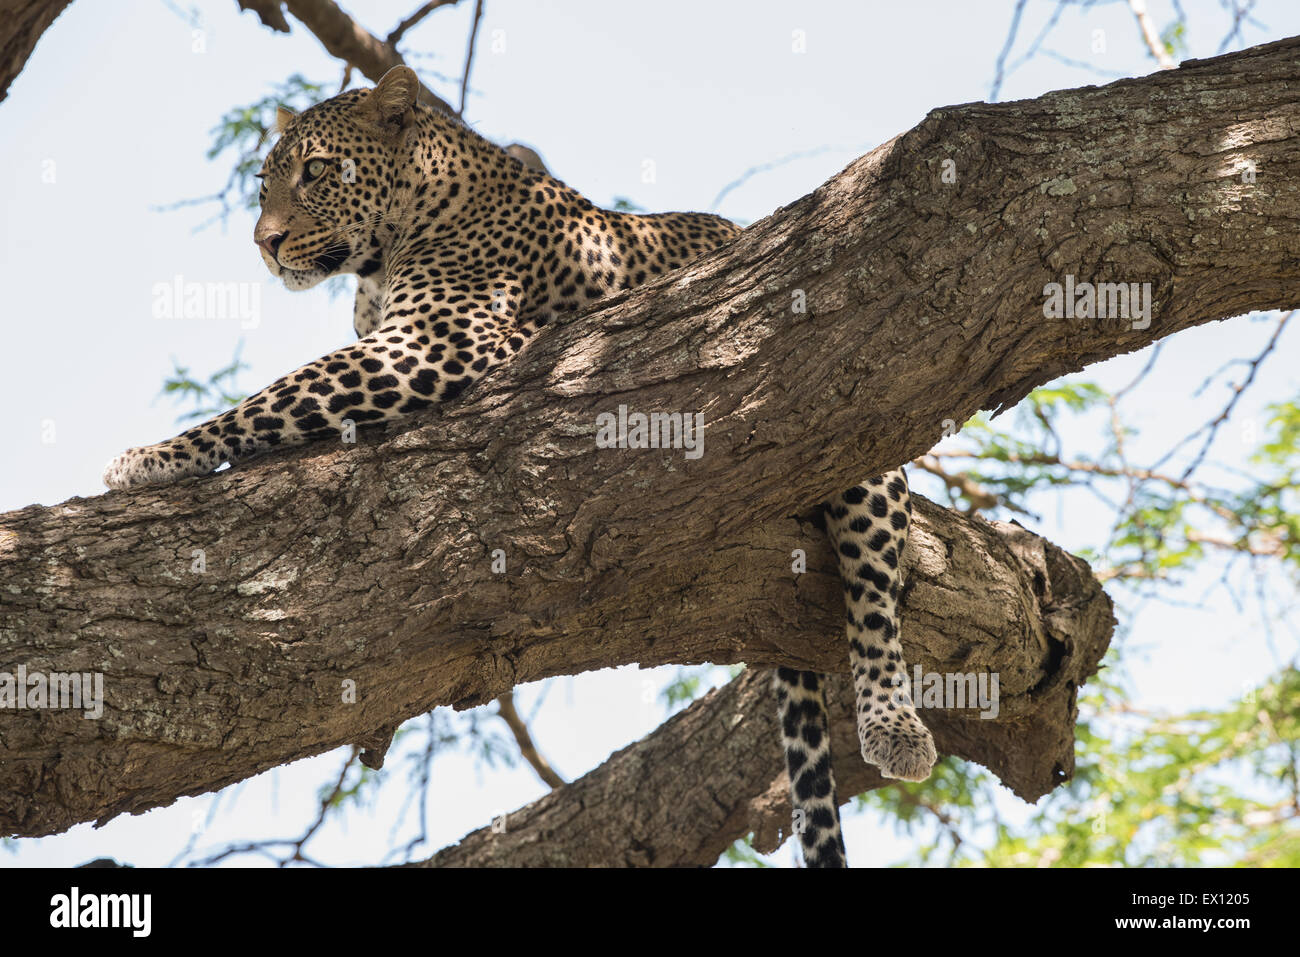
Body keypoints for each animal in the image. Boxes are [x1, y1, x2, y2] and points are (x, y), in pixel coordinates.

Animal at [101, 66, 937, 866]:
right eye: (262, 182)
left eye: (316, 171)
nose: (264, 242)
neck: (392, 241)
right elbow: (295, 398)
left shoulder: (434, 343)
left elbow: (277, 395)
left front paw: (152, 456)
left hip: (867, 442)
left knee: (873, 589)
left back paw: (894, 723)